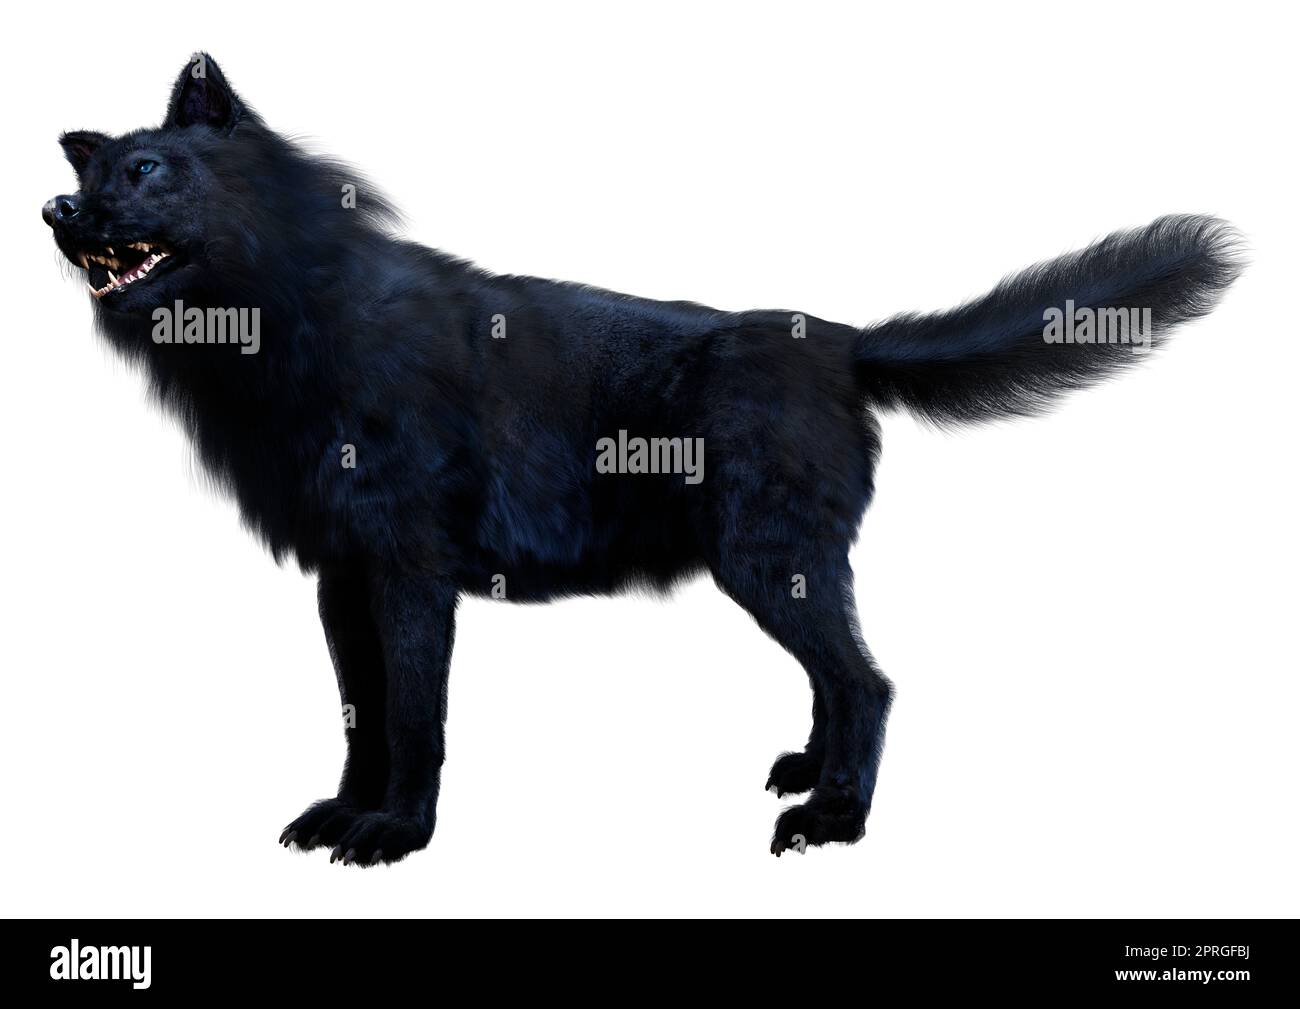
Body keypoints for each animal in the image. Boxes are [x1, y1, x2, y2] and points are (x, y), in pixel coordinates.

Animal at [45, 54, 1241, 864]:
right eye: (92, 175)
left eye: (147, 169)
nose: (56, 206)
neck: (296, 329)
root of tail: (843, 343)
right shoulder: (342, 580)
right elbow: (363, 720)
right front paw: (349, 811)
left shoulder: (410, 577)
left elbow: (417, 719)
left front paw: (397, 835)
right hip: (777, 572)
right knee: (836, 679)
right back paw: (808, 776)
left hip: (768, 566)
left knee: (871, 680)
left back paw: (835, 818)